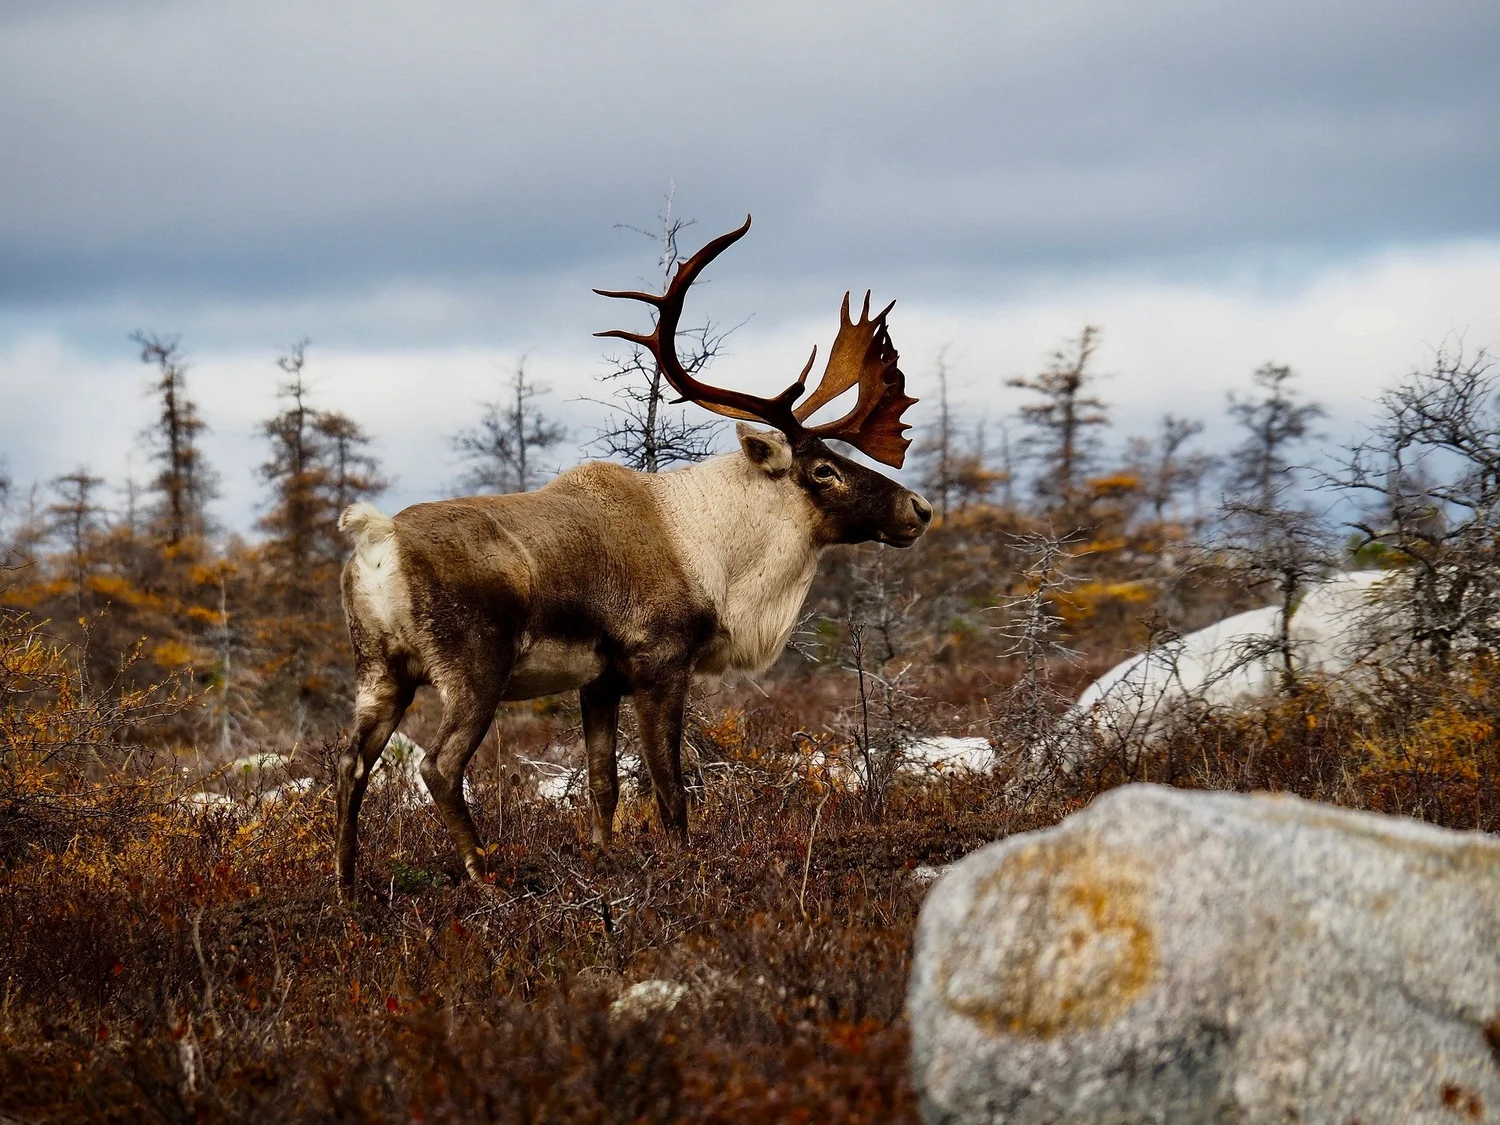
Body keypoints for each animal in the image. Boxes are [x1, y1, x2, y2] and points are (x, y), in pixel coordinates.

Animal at [334, 216, 931, 890]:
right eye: (824, 470)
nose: (918, 508)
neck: (714, 554)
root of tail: (375, 539)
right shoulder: (659, 663)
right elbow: (669, 787)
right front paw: (682, 866)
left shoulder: (598, 682)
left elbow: (603, 783)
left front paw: (602, 861)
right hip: (472, 669)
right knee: (437, 765)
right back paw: (485, 875)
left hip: (380, 669)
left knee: (351, 765)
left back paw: (347, 887)